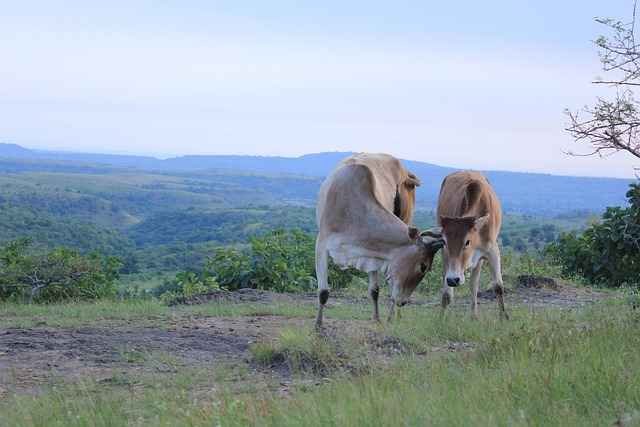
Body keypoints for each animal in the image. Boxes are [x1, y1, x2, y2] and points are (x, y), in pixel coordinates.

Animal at [315, 153, 444, 330]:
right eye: (423, 266)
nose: (403, 302)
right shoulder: (322, 245)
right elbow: (323, 292)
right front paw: (318, 324)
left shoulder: (372, 254)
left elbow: (375, 290)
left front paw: (377, 317)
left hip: (406, 217)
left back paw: (394, 315)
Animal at [424, 170, 509, 319]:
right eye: (444, 241)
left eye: (467, 241)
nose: (453, 280)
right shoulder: (445, 255)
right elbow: (447, 294)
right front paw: (440, 319)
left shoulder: (492, 251)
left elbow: (498, 286)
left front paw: (504, 318)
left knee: (474, 284)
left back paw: (474, 315)